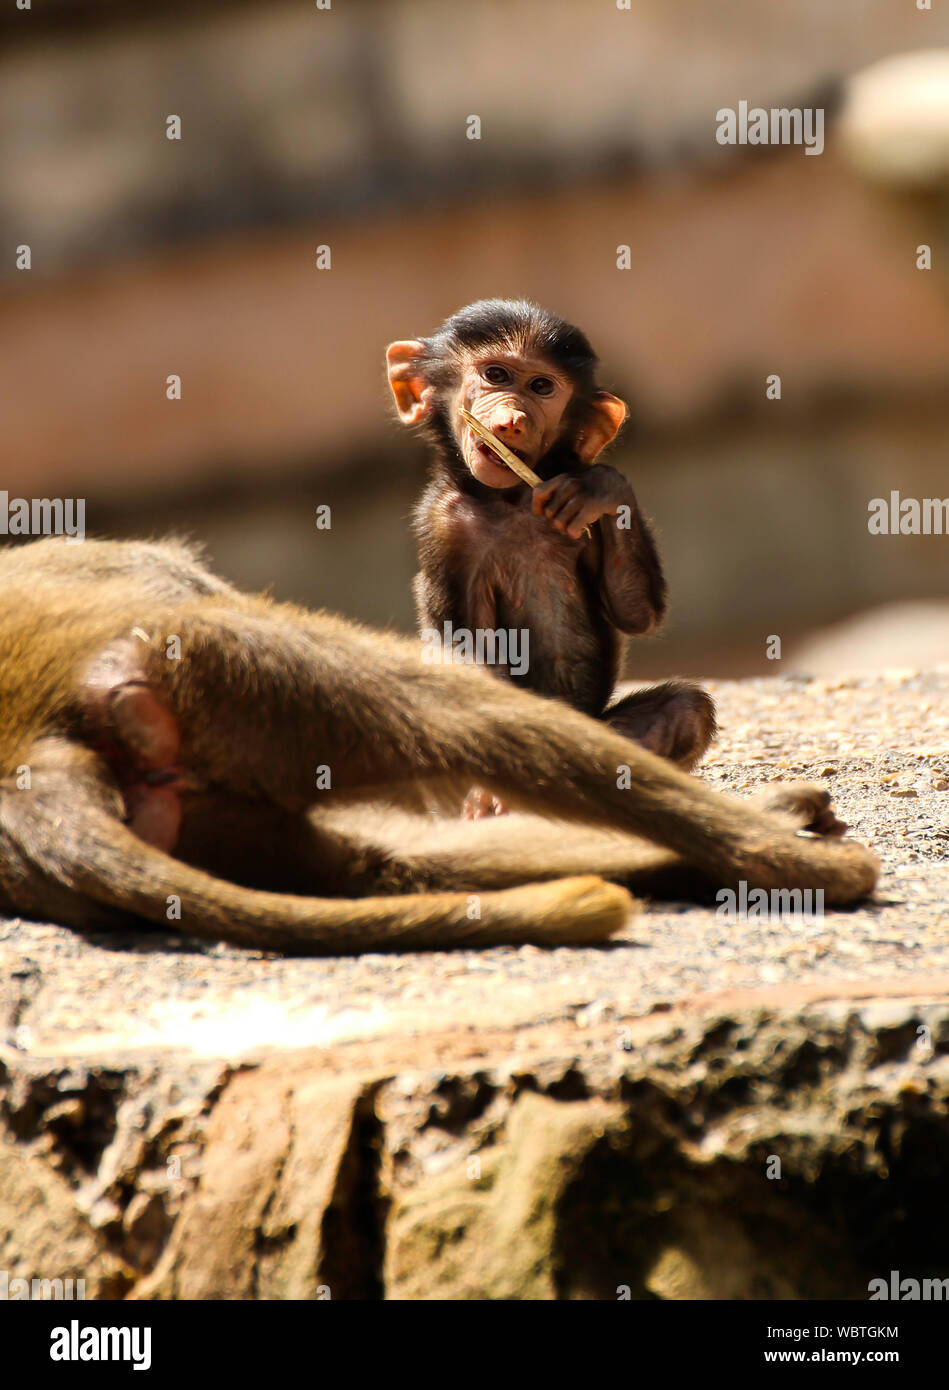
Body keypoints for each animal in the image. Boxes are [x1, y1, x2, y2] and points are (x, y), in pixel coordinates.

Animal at [387, 299, 717, 819]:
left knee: (684, 709)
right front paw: (489, 789)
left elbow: (636, 613)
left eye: (541, 387)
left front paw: (600, 487)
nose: (511, 420)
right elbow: (468, 643)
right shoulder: (442, 524)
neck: (511, 500)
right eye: (495, 375)